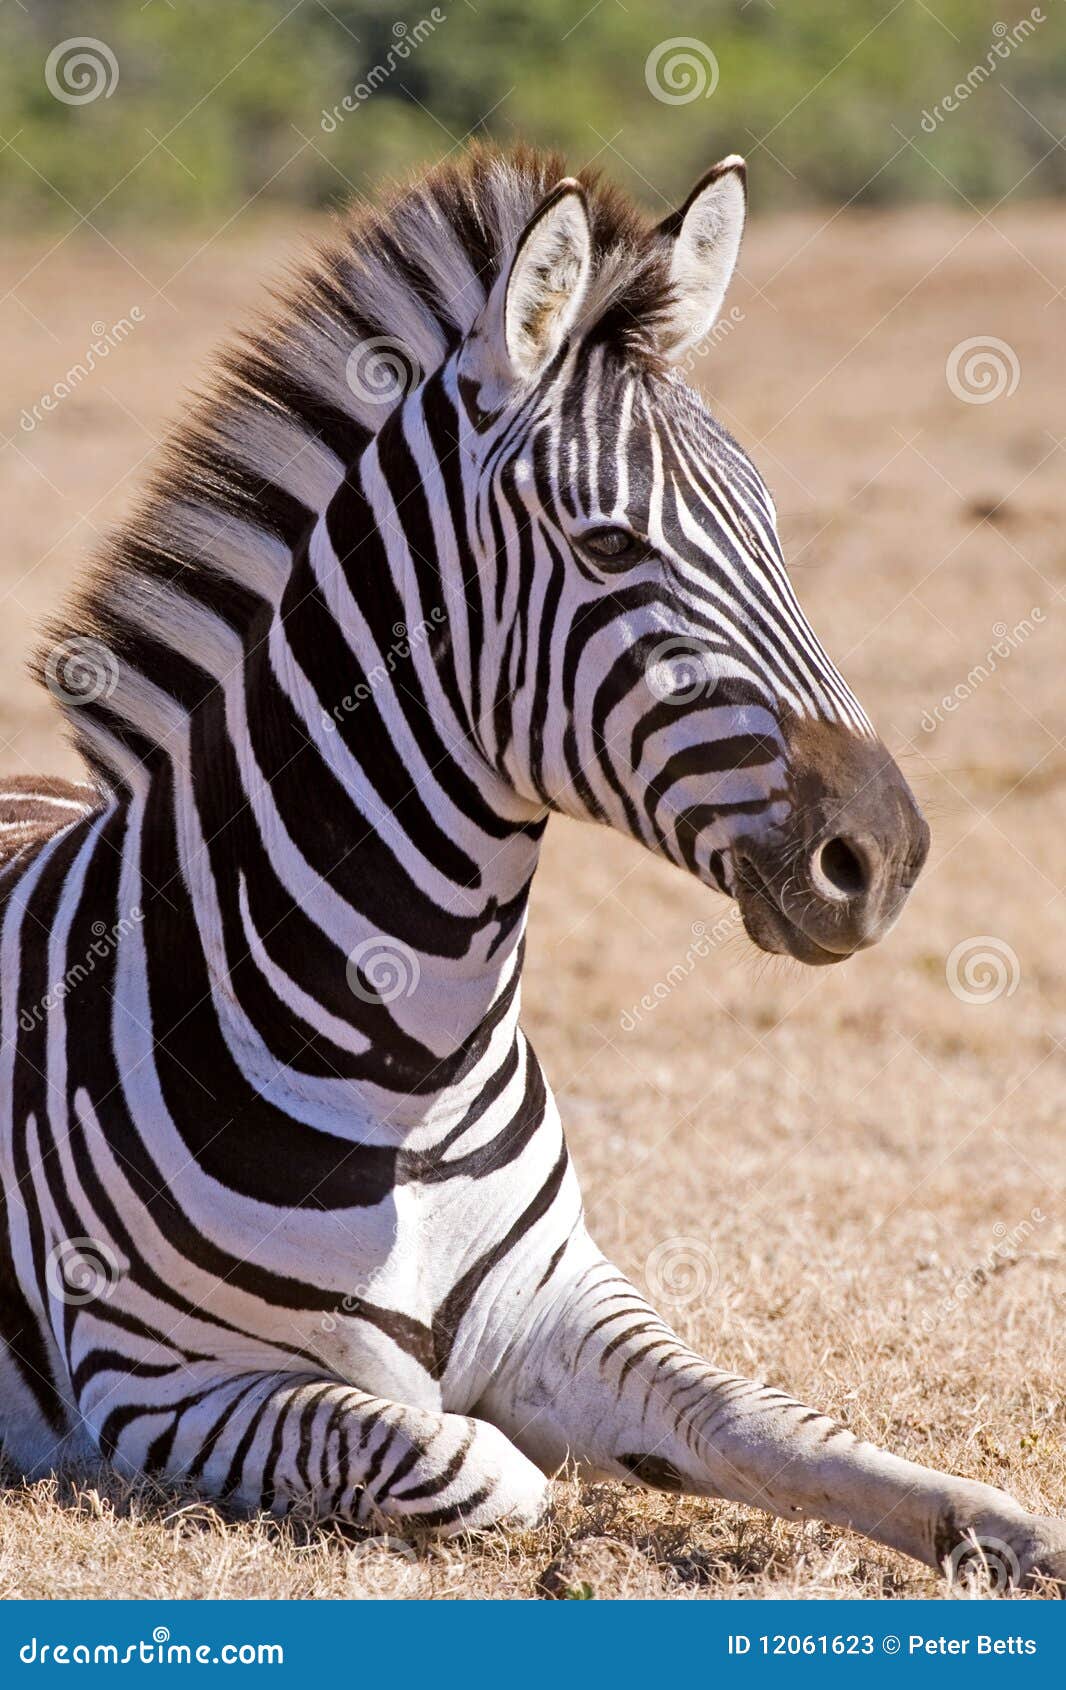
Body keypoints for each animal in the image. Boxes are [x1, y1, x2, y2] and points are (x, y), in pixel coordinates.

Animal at [1, 145, 1063, 1587]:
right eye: (608, 544)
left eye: (773, 532)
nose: (884, 853)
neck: (409, 1065)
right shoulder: (153, 1387)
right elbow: (485, 1465)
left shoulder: (561, 1302)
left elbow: (763, 1417)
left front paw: (998, 1525)